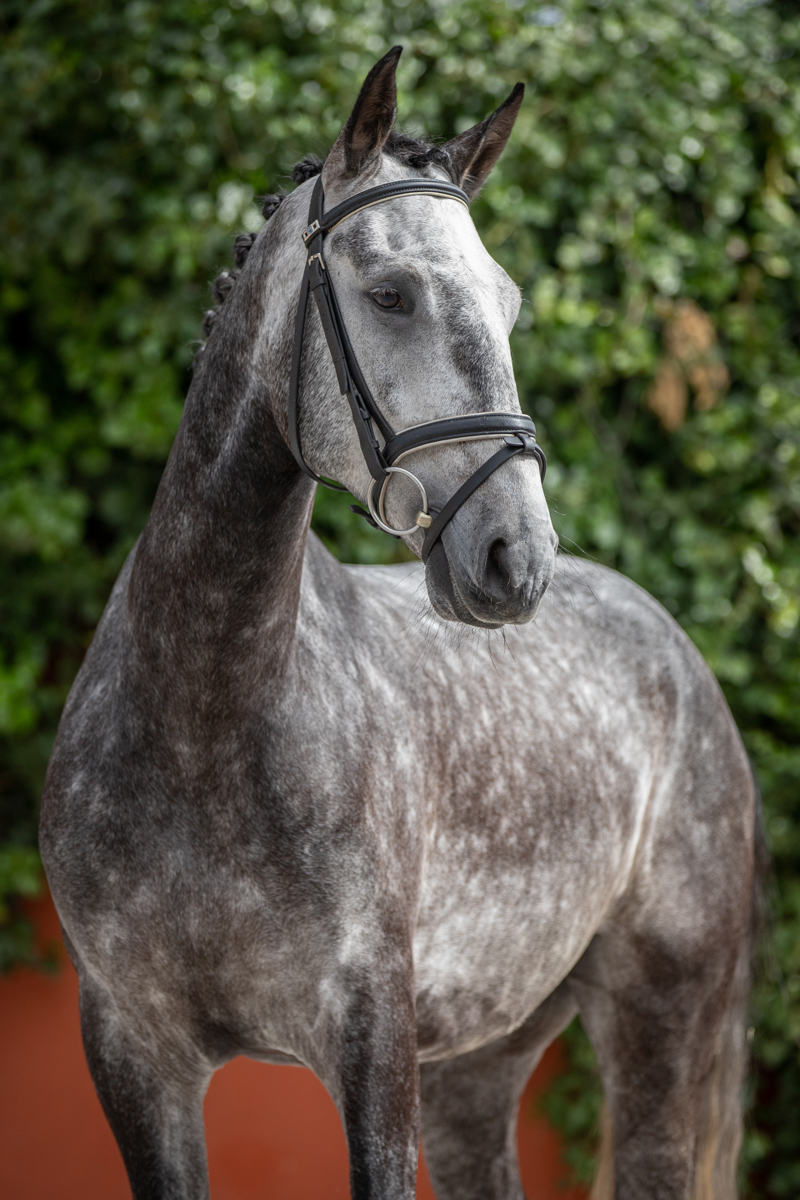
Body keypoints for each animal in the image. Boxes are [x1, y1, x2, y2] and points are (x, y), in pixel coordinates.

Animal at [40, 47, 758, 1200]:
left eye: (508, 304)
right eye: (390, 293)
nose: (514, 558)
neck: (202, 720)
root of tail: (671, 644)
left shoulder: (371, 1050)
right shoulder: (133, 1056)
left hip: (661, 1020)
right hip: (478, 1063)